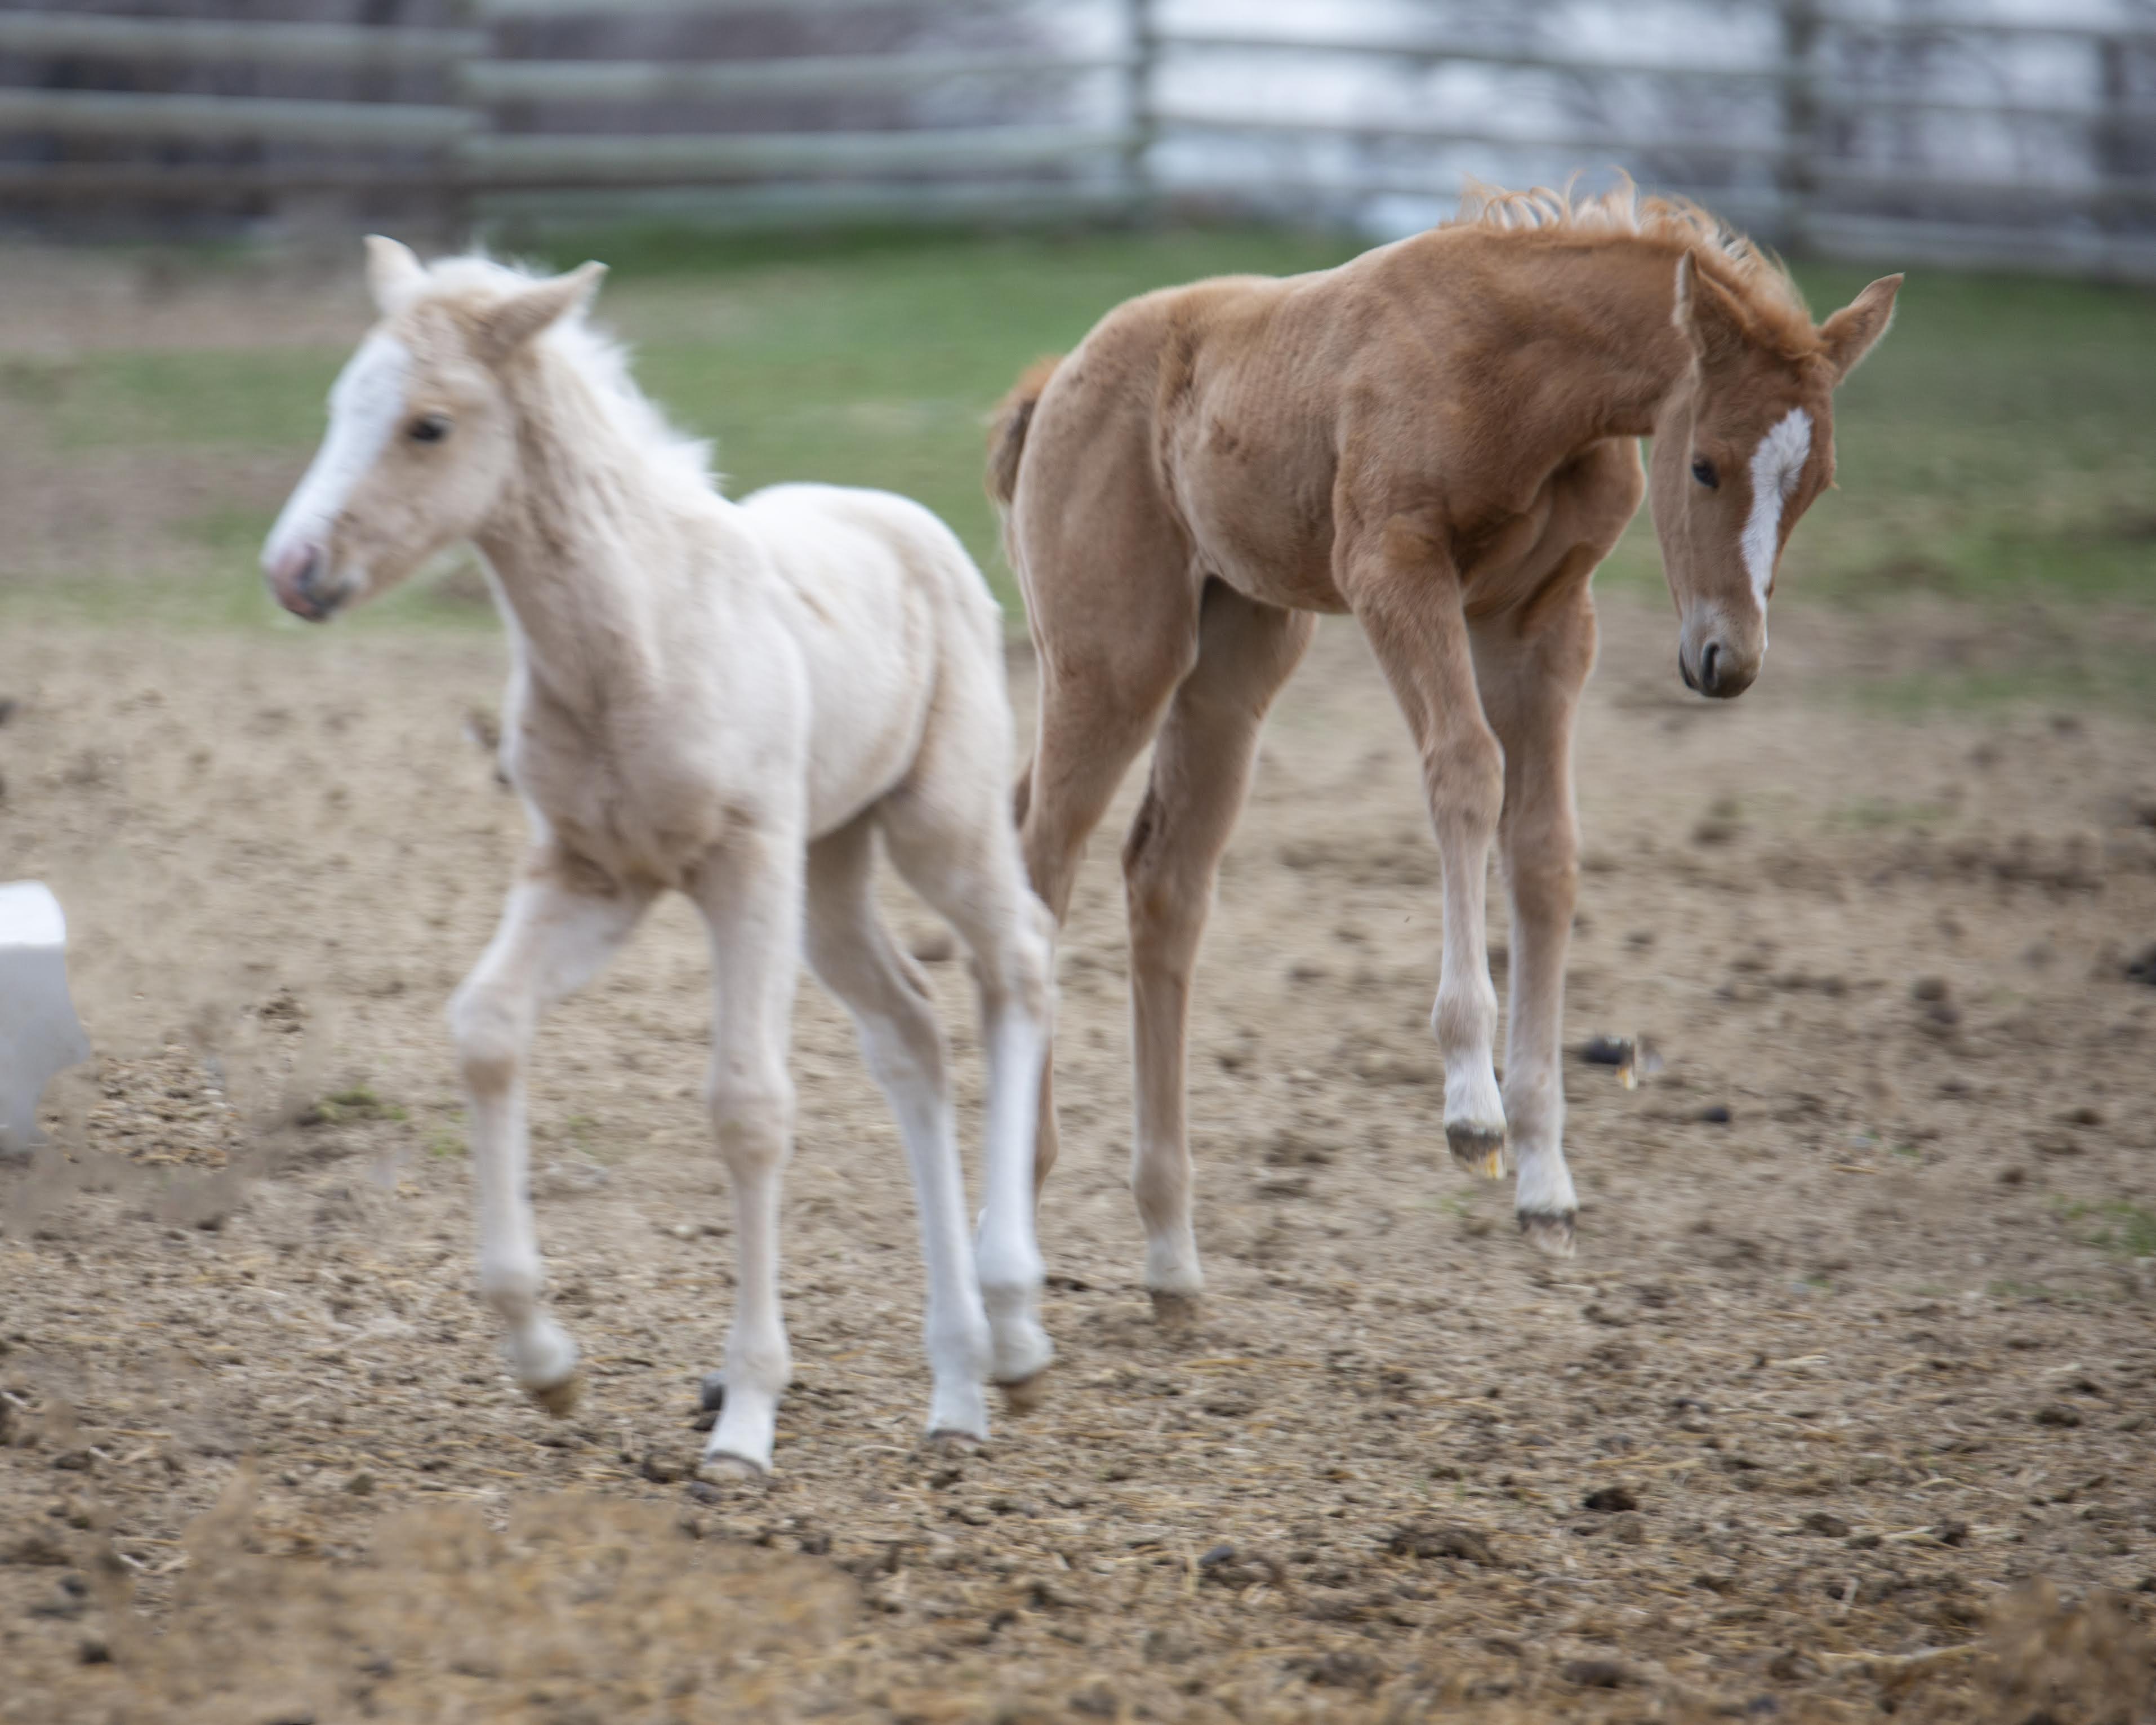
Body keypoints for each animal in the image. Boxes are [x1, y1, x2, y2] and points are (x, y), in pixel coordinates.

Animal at [261, 238, 1056, 1475]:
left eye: (429, 425)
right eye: (343, 400)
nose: (295, 569)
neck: (632, 643)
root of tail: (909, 522)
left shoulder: (743, 867)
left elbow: (748, 1105)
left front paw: (745, 1418)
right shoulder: (592, 878)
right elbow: (485, 1030)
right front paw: (545, 1362)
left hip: (938, 825)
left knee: (1016, 961)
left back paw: (1014, 1331)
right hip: (829, 870)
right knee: (911, 1033)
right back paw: (957, 1387)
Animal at [988, 181, 1899, 1304]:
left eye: (1815, 484)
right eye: (1703, 465)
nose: (1725, 659)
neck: (1522, 375)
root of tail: (1054, 386)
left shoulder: (1540, 622)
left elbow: (1544, 848)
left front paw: (1544, 1177)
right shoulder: (1394, 569)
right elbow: (1465, 773)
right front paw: (1472, 1107)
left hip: (1237, 656)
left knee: (1163, 878)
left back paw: (1170, 1249)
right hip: (1114, 659)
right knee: (1040, 852)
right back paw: (1011, 1213)